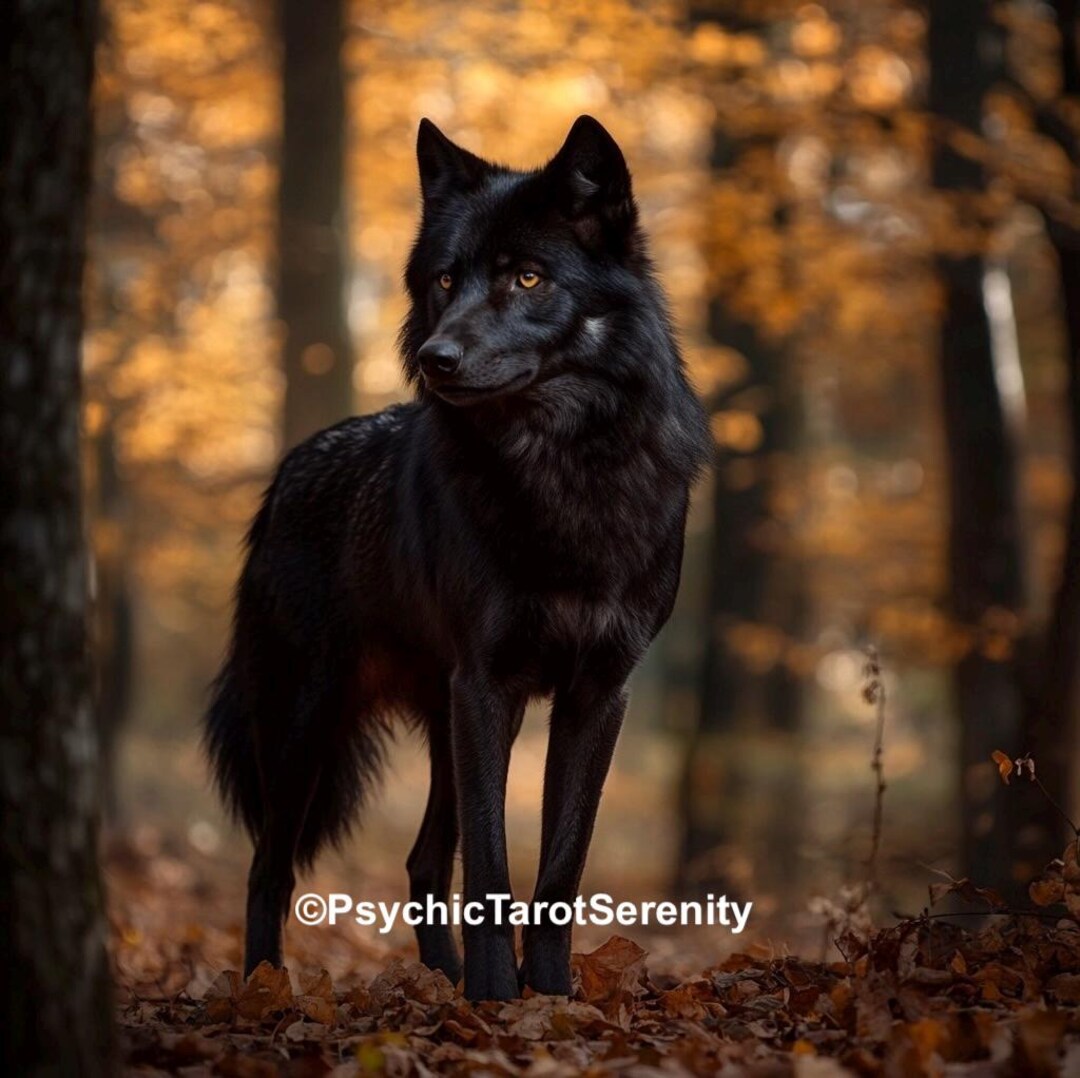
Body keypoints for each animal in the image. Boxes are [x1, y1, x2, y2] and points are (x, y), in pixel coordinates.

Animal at [205, 115, 710, 1001]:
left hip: (435, 723)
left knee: (422, 860)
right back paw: (265, 989)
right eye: (445, 279)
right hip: (307, 721)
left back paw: (438, 986)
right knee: (270, 868)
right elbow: (494, 867)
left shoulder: (597, 694)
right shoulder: (488, 685)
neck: (563, 467)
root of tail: (287, 473)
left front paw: (547, 999)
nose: (436, 358)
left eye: (529, 278)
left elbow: (557, 869)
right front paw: (499, 1000)